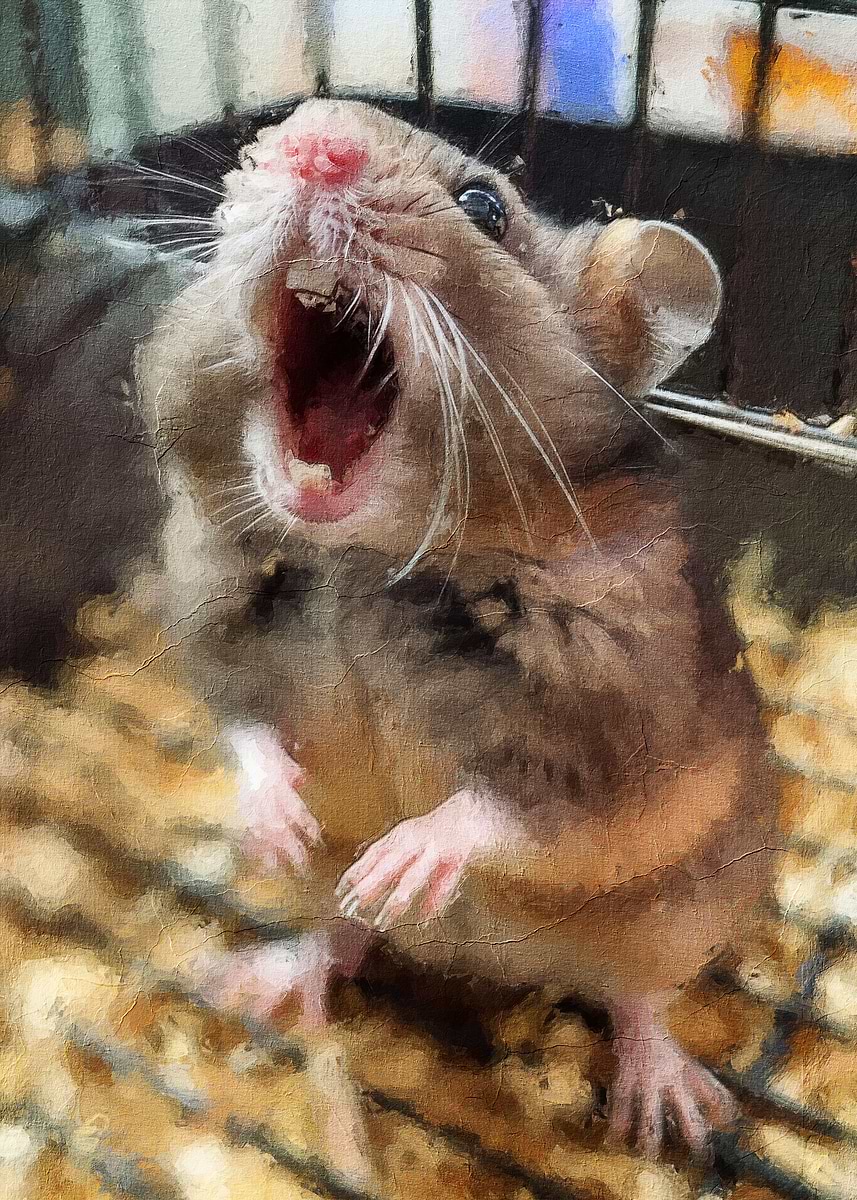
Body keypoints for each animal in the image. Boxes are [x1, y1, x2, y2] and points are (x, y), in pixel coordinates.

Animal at [133, 99, 780, 1158]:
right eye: (253, 150)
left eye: (484, 206)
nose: (312, 141)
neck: (367, 559)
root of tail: (493, 967)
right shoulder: (209, 612)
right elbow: (246, 729)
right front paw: (276, 824)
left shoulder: (613, 729)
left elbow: (509, 809)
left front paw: (402, 861)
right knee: (338, 936)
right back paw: (264, 973)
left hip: (676, 916)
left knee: (637, 1000)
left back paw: (666, 1110)